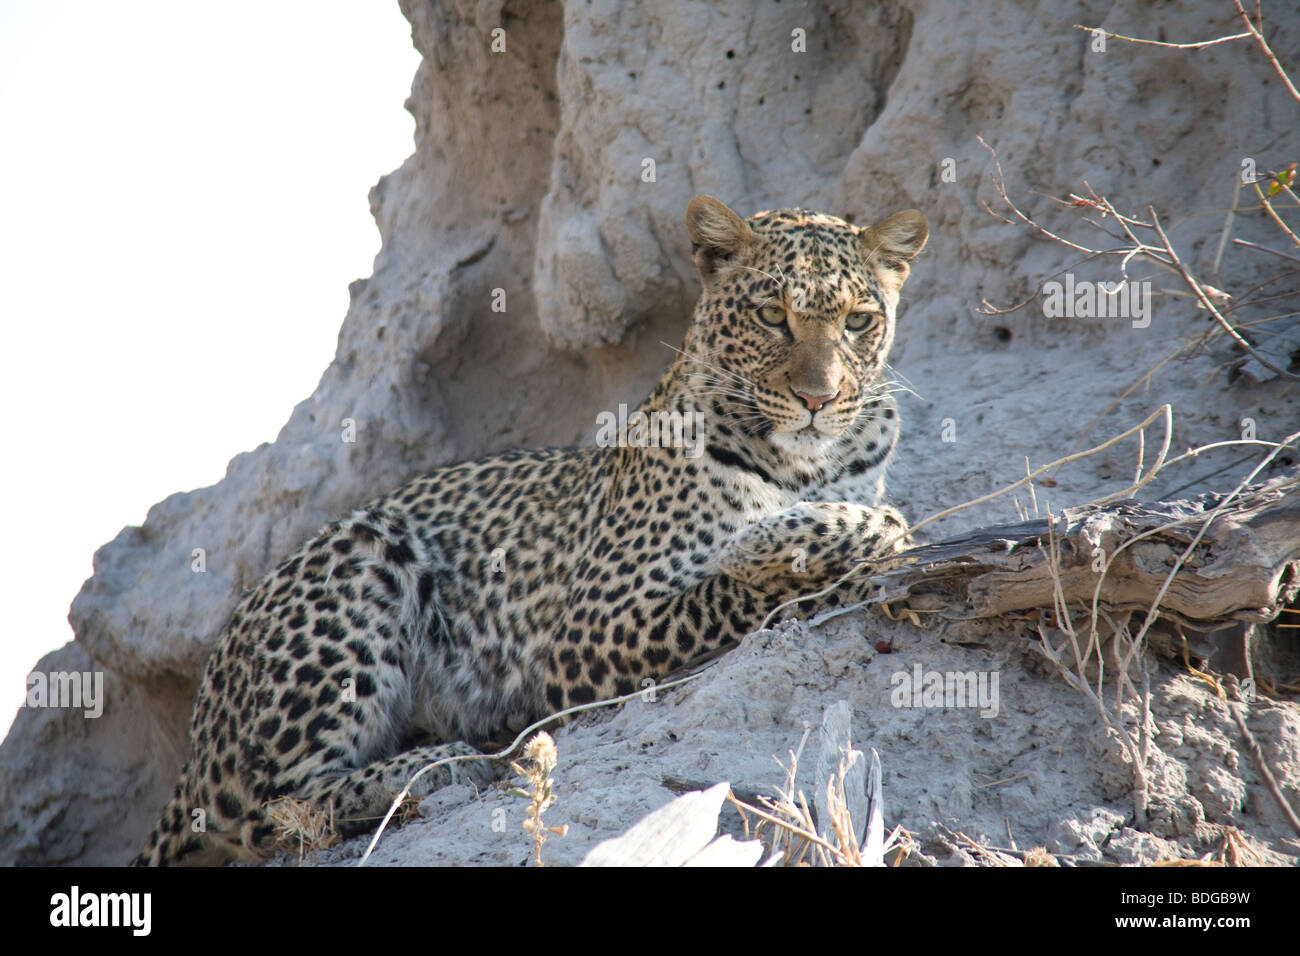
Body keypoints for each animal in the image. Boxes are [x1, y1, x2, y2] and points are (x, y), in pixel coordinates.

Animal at [133, 194, 929, 865]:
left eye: (859, 321)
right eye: (771, 316)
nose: (817, 398)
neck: (805, 464)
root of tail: (196, 741)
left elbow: (856, 533)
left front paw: (824, 532)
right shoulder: (593, 625)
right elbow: (747, 582)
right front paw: (806, 539)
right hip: (360, 556)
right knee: (269, 811)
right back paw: (435, 764)